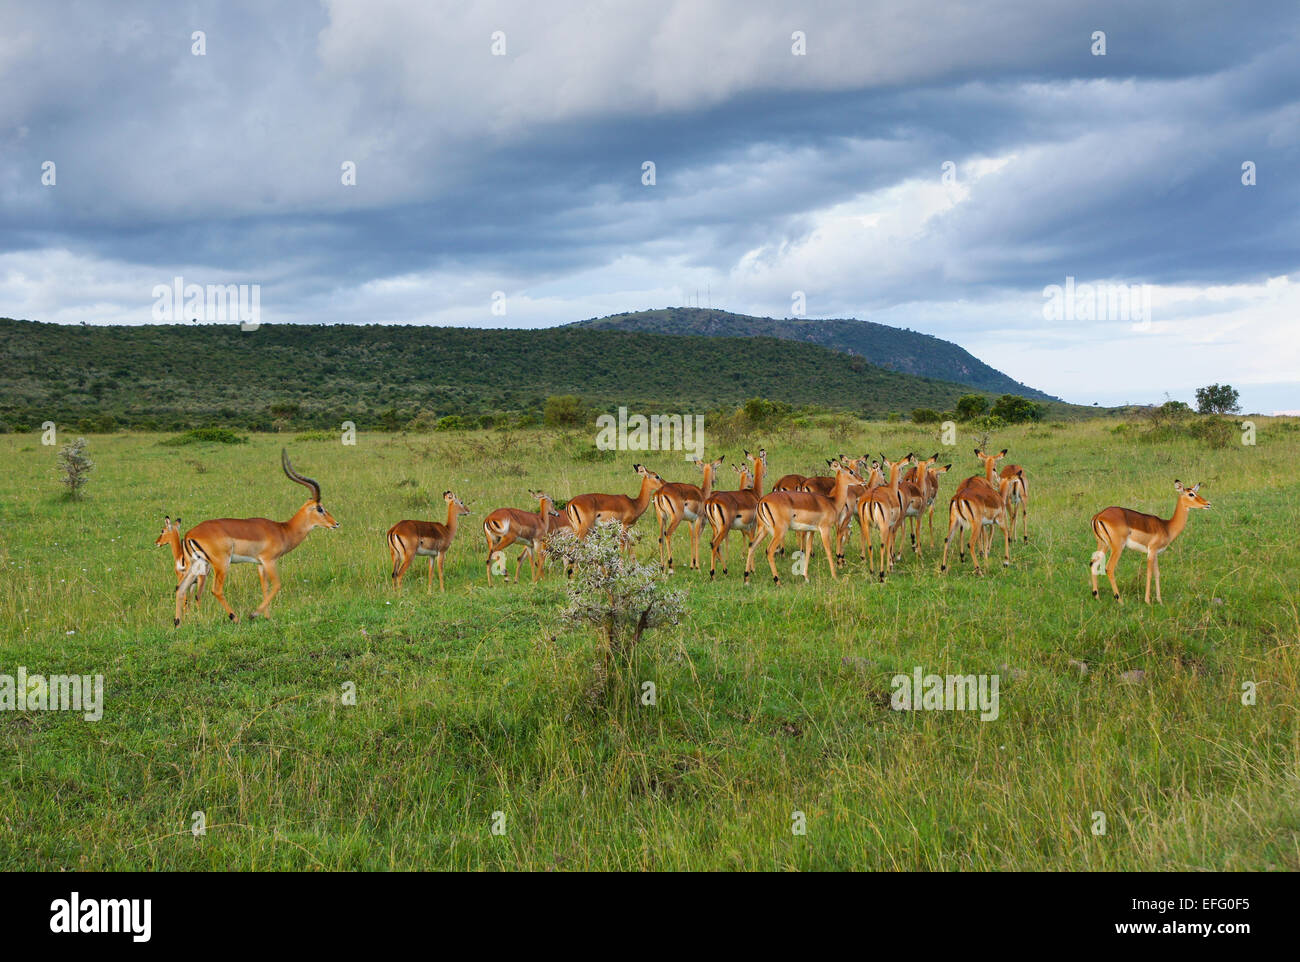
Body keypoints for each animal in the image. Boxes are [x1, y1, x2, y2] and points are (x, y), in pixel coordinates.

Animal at [173, 450, 339, 626]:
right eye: (320, 508)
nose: (336, 523)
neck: (283, 529)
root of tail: (190, 534)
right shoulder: (269, 561)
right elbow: (277, 585)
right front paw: (253, 614)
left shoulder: (260, 564)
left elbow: (264, 588)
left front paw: (267, 616)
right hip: (221, 564)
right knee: (215, 590)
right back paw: (235, 617)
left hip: (196, 564)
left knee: (180, 588)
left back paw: (177, 623)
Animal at [704, 449, 766, 578]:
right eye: (751, 475)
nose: (765, 473)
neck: (754, 493)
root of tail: (711, 500)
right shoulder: (753, 525)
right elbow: (752, 543)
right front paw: (752, 570)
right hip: (724, 527)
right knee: (715, 544)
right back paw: (713, 574)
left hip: (716, 528)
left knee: (713, 544)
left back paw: (725, 571)